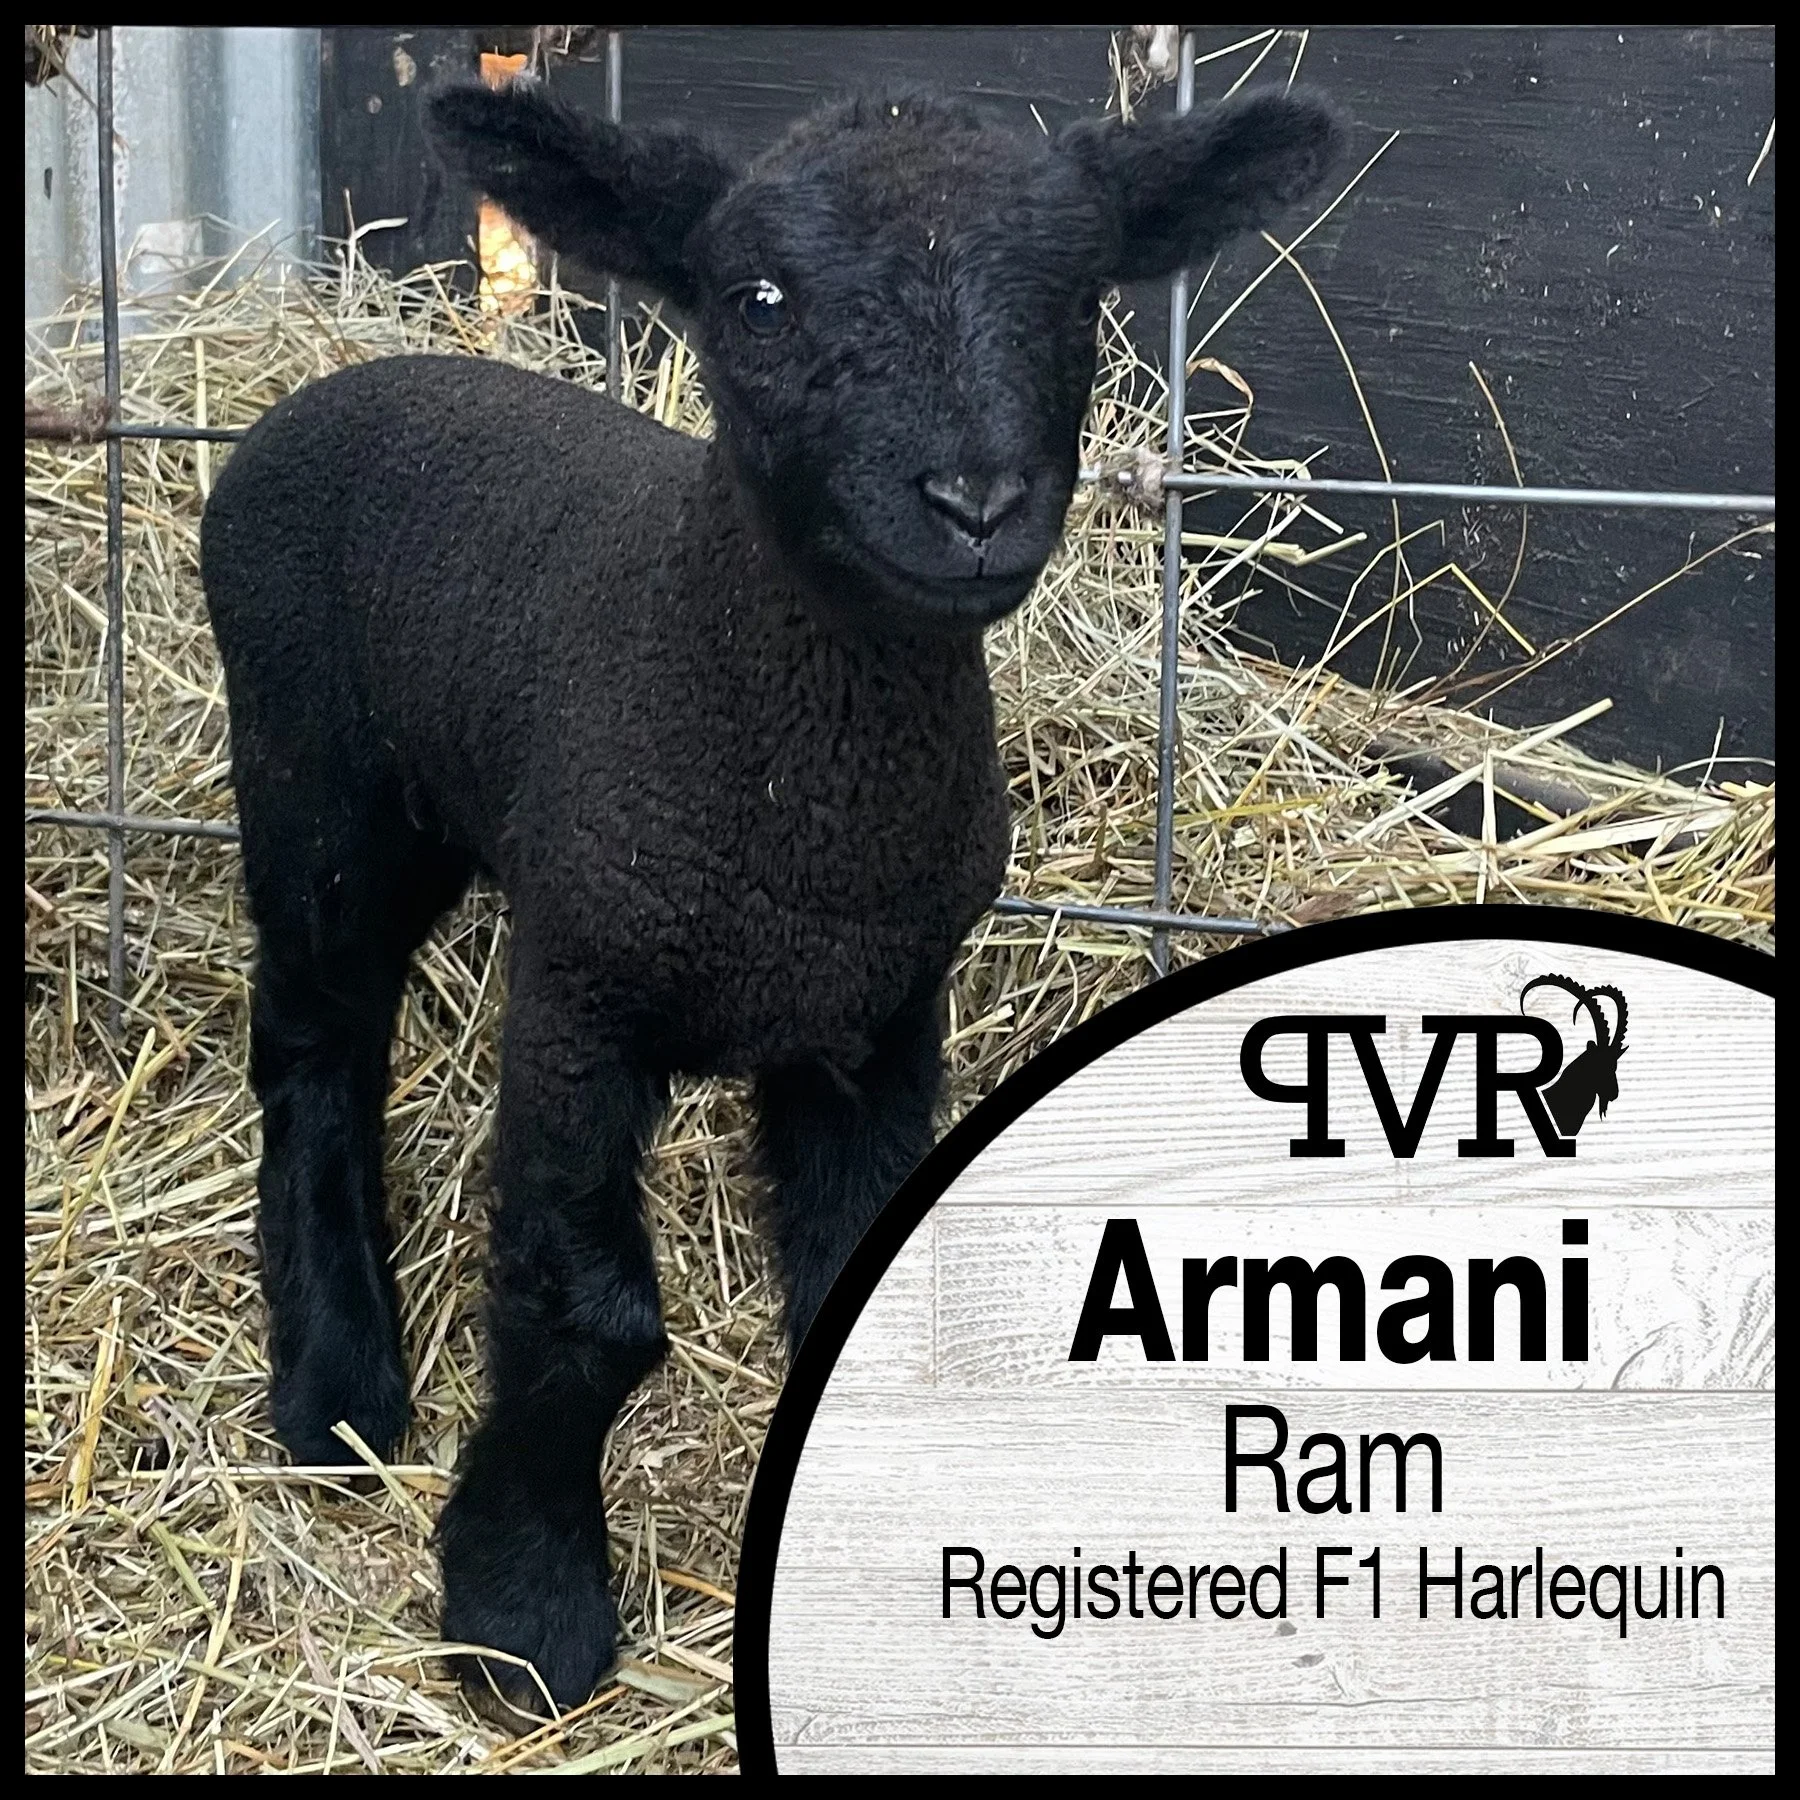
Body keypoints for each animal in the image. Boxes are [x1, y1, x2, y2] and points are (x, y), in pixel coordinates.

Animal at [198, 75, 1343, 1719]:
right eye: (758, 299)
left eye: (1080, 298)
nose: (976, 501)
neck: (799, 819)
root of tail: (324, 387)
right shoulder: (583, 989)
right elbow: (583, 1315)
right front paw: (523, 1603)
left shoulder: (878, 1011)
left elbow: (869, 1272)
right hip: (313, 779)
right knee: (312, 1042)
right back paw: (339, 1384)